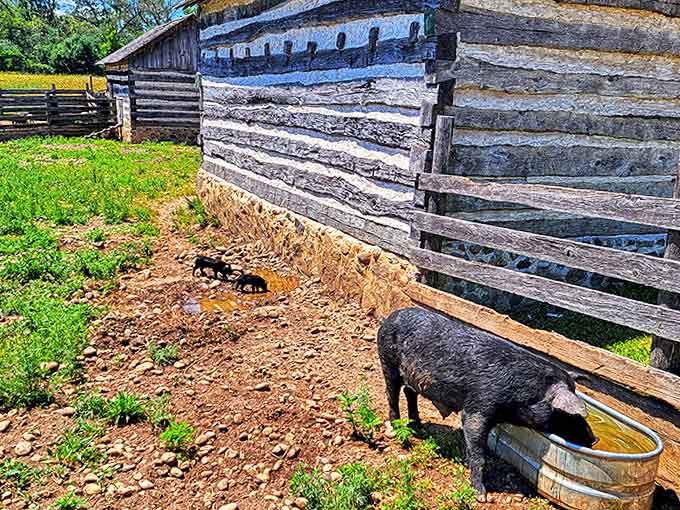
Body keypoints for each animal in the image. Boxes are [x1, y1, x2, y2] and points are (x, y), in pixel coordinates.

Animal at [377, 307, 596, 501]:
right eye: (567, 413)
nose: (594, 440)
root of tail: (390, 317)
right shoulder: (478, 408)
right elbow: (479, 453)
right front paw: (481, 495)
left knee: (409, 392)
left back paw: (418, 426)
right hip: (387, 361)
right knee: (392, 395)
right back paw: (397, 430)